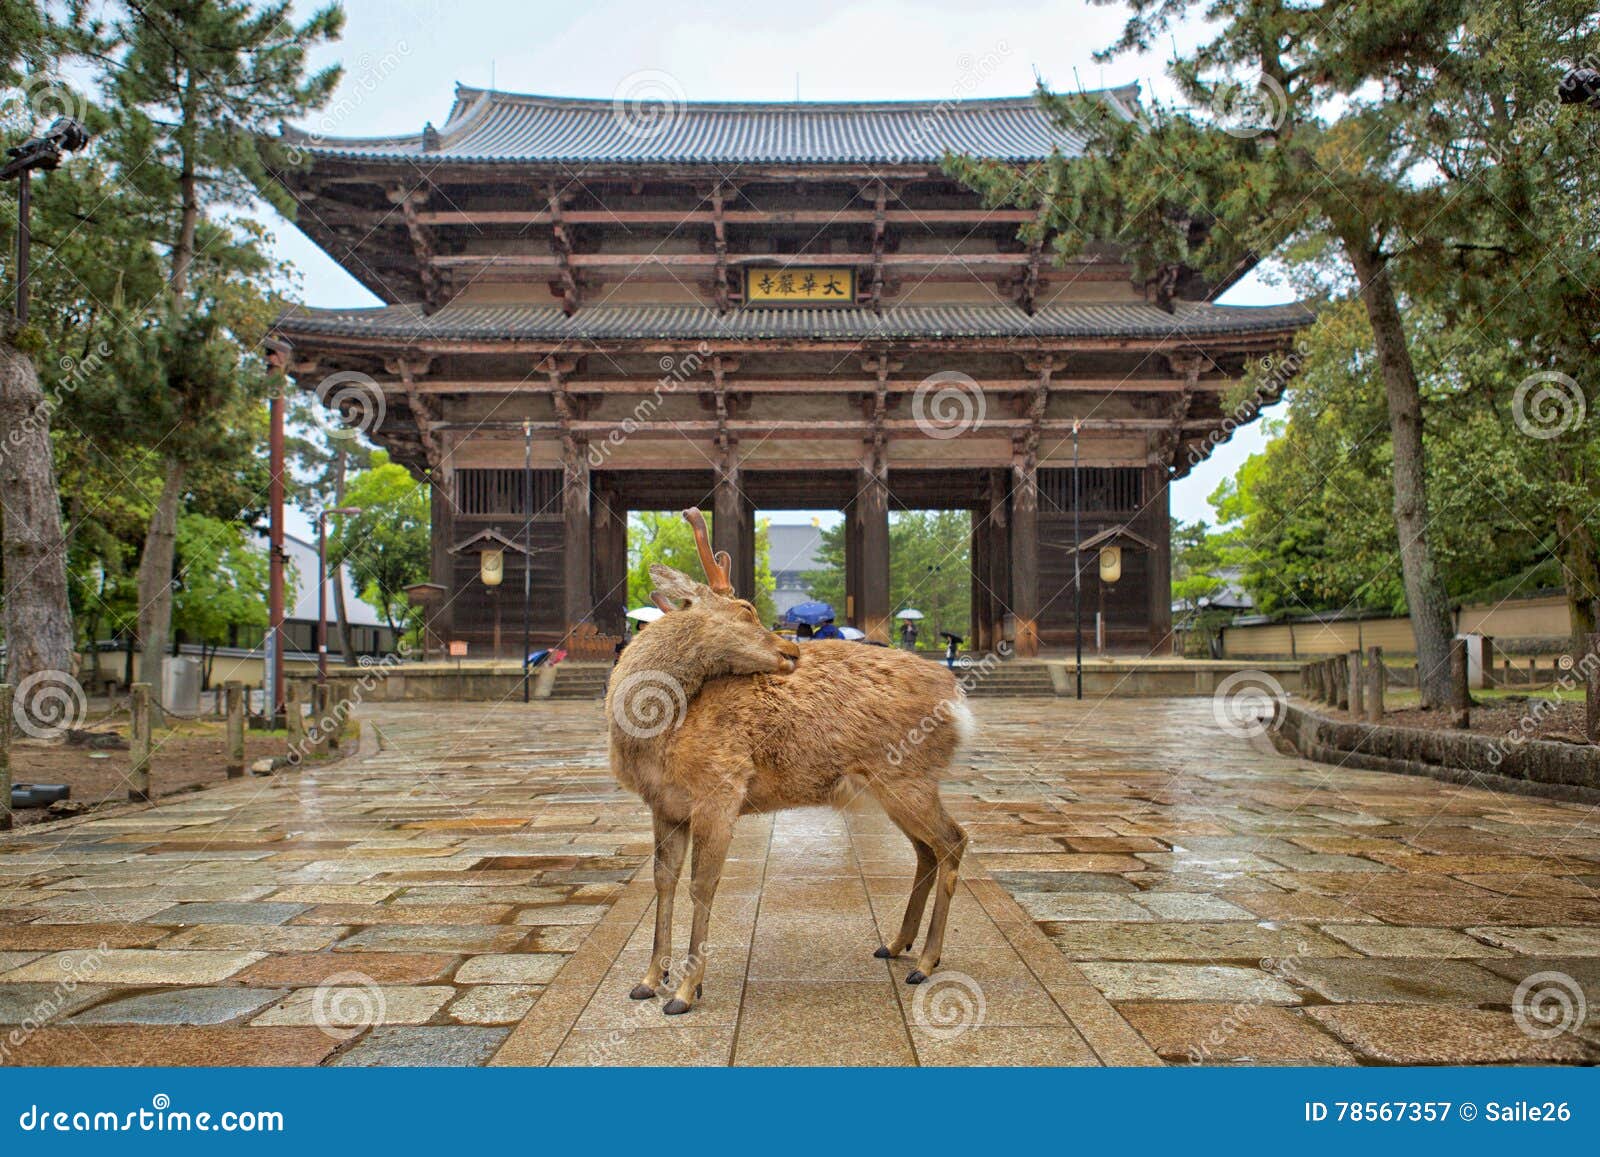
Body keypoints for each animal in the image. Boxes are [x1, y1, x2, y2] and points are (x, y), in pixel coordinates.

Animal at [605, 509, 971, 1015]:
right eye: (746, 609)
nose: (792, 650)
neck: (661, 736)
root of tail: (958, 701)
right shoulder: (664, 804)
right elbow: (663, 881)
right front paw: (646, 980)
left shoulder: (721, 788)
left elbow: (702, 884)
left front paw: (684, 991)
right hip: (894, 787)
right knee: (926, 850)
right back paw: (897, 944)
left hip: (908, 777)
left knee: (953, 840)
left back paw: (927, 962)